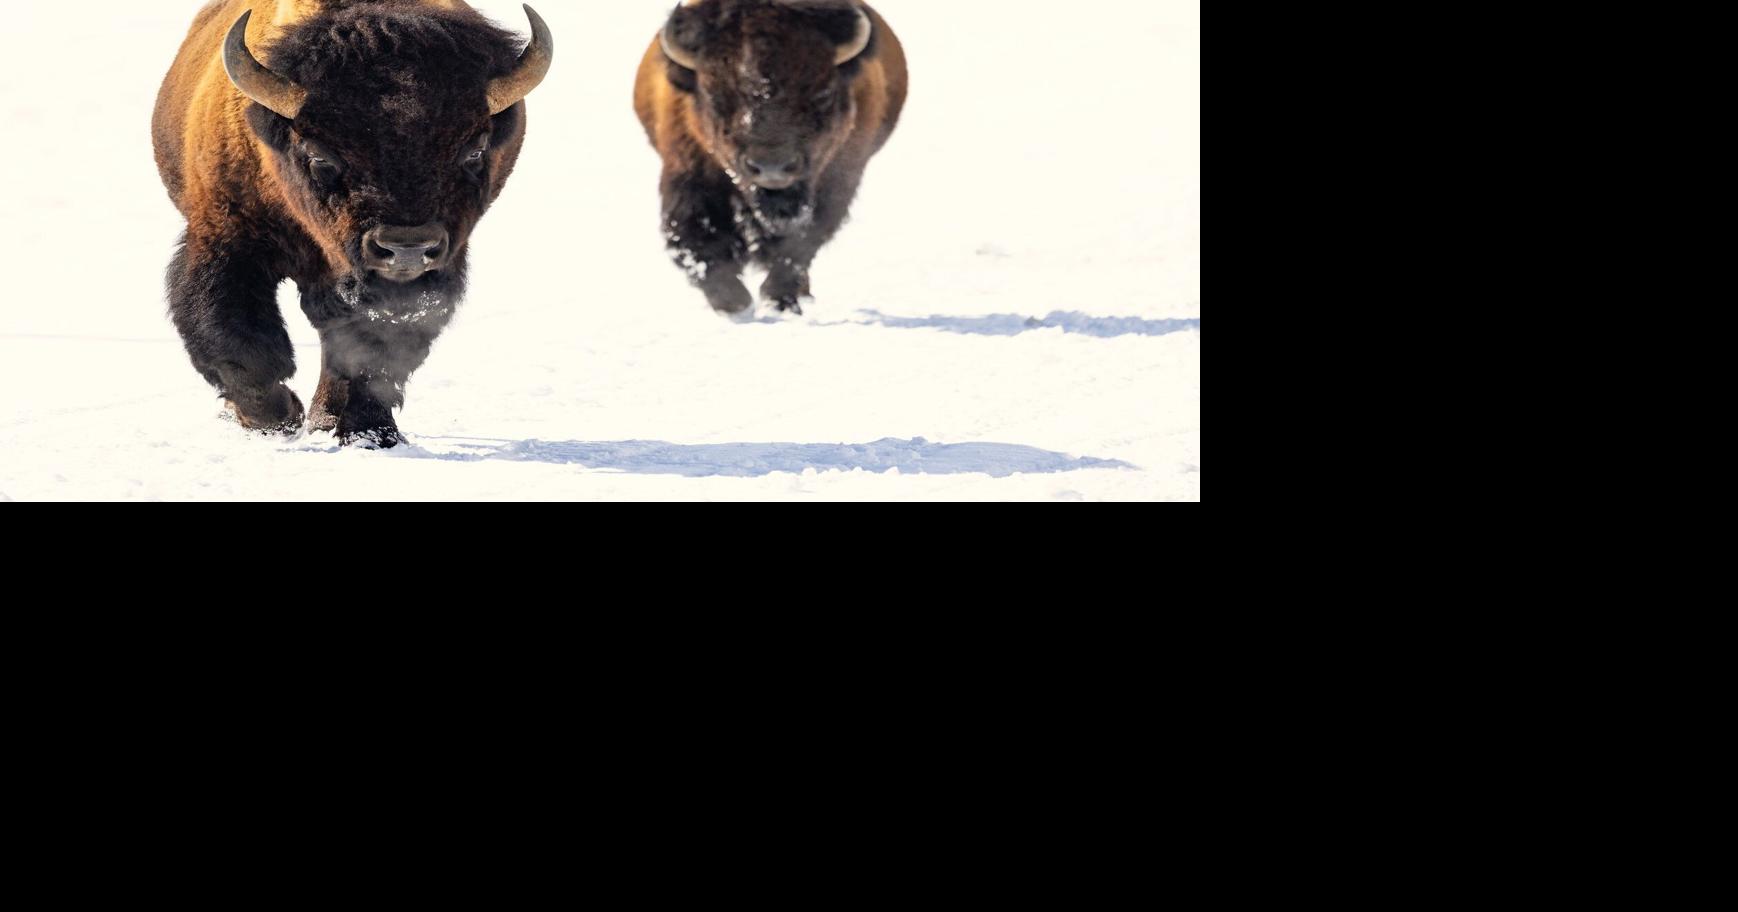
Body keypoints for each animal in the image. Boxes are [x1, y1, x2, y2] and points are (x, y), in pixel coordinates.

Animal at [153, 0, 553, 447]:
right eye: (320, 155)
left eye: (475, 150)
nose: (407, 248)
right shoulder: (225, 238)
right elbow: (238, 339)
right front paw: (277, 418)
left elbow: (376, 350)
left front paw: (370, 433)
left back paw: (328, 418)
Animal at [635, 0, 908, 315]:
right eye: (715, 95)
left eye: (823, 93)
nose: (772, 168)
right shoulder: (686, 174)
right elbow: (693, 240)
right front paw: (735, 303)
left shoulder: (836, 184)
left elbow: (802, 243)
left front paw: (777, 299)